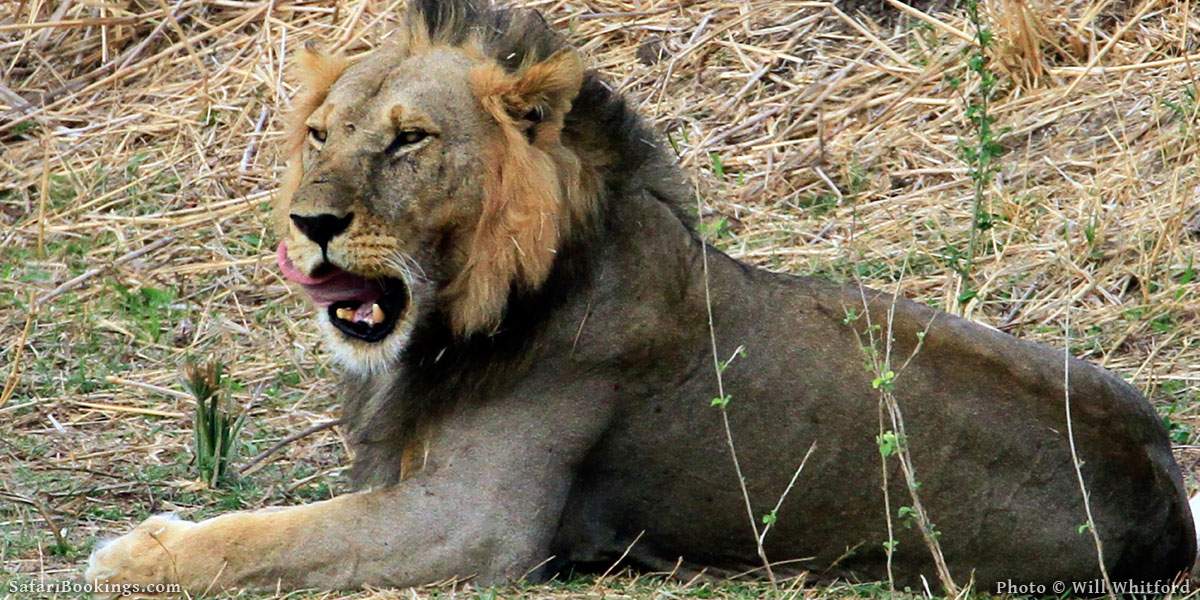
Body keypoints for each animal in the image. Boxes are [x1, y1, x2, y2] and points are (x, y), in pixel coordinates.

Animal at [86, 0, 1195, 594]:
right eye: (320, 135)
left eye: (408, 141)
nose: (308, 221)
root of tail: (1165, 498)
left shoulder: (474, 522)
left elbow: (276, 533)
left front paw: (134, 551)